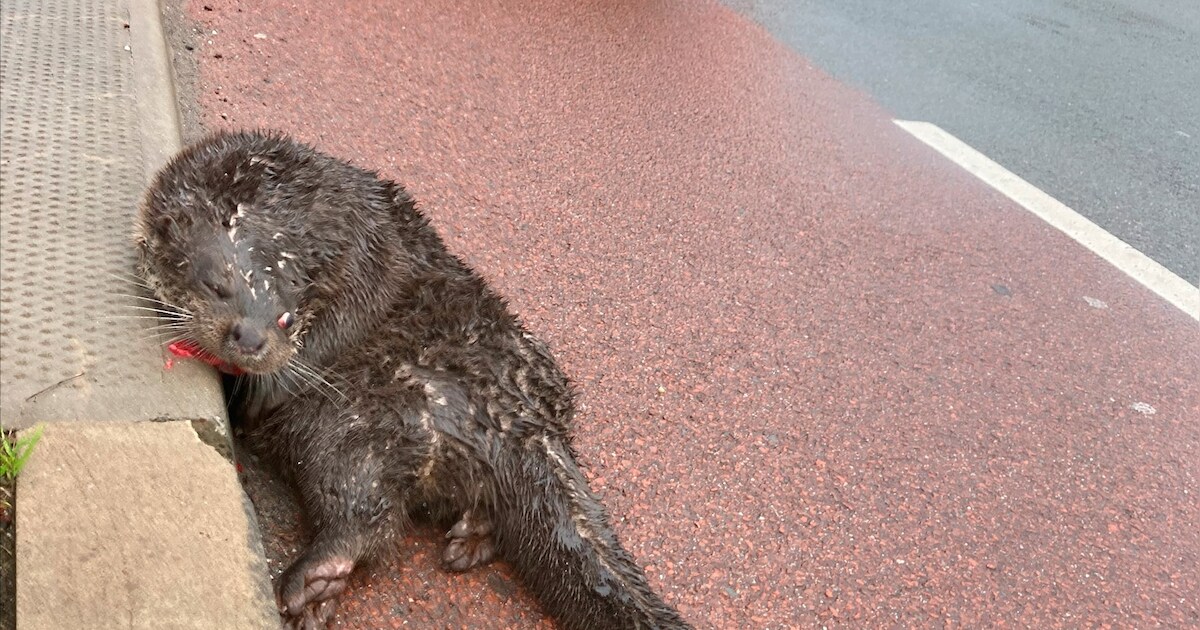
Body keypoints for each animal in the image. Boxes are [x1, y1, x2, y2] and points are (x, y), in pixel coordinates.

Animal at [135, 130, 691, 630]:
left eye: (286, 318)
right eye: (216, 284)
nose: (251, 338)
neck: (285, 194)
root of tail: (508, 414)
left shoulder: (367, 238)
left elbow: (356, 304)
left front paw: (273, 383)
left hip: (352, 430)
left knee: (363, 514)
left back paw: (314, 581)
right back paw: (469, 538)